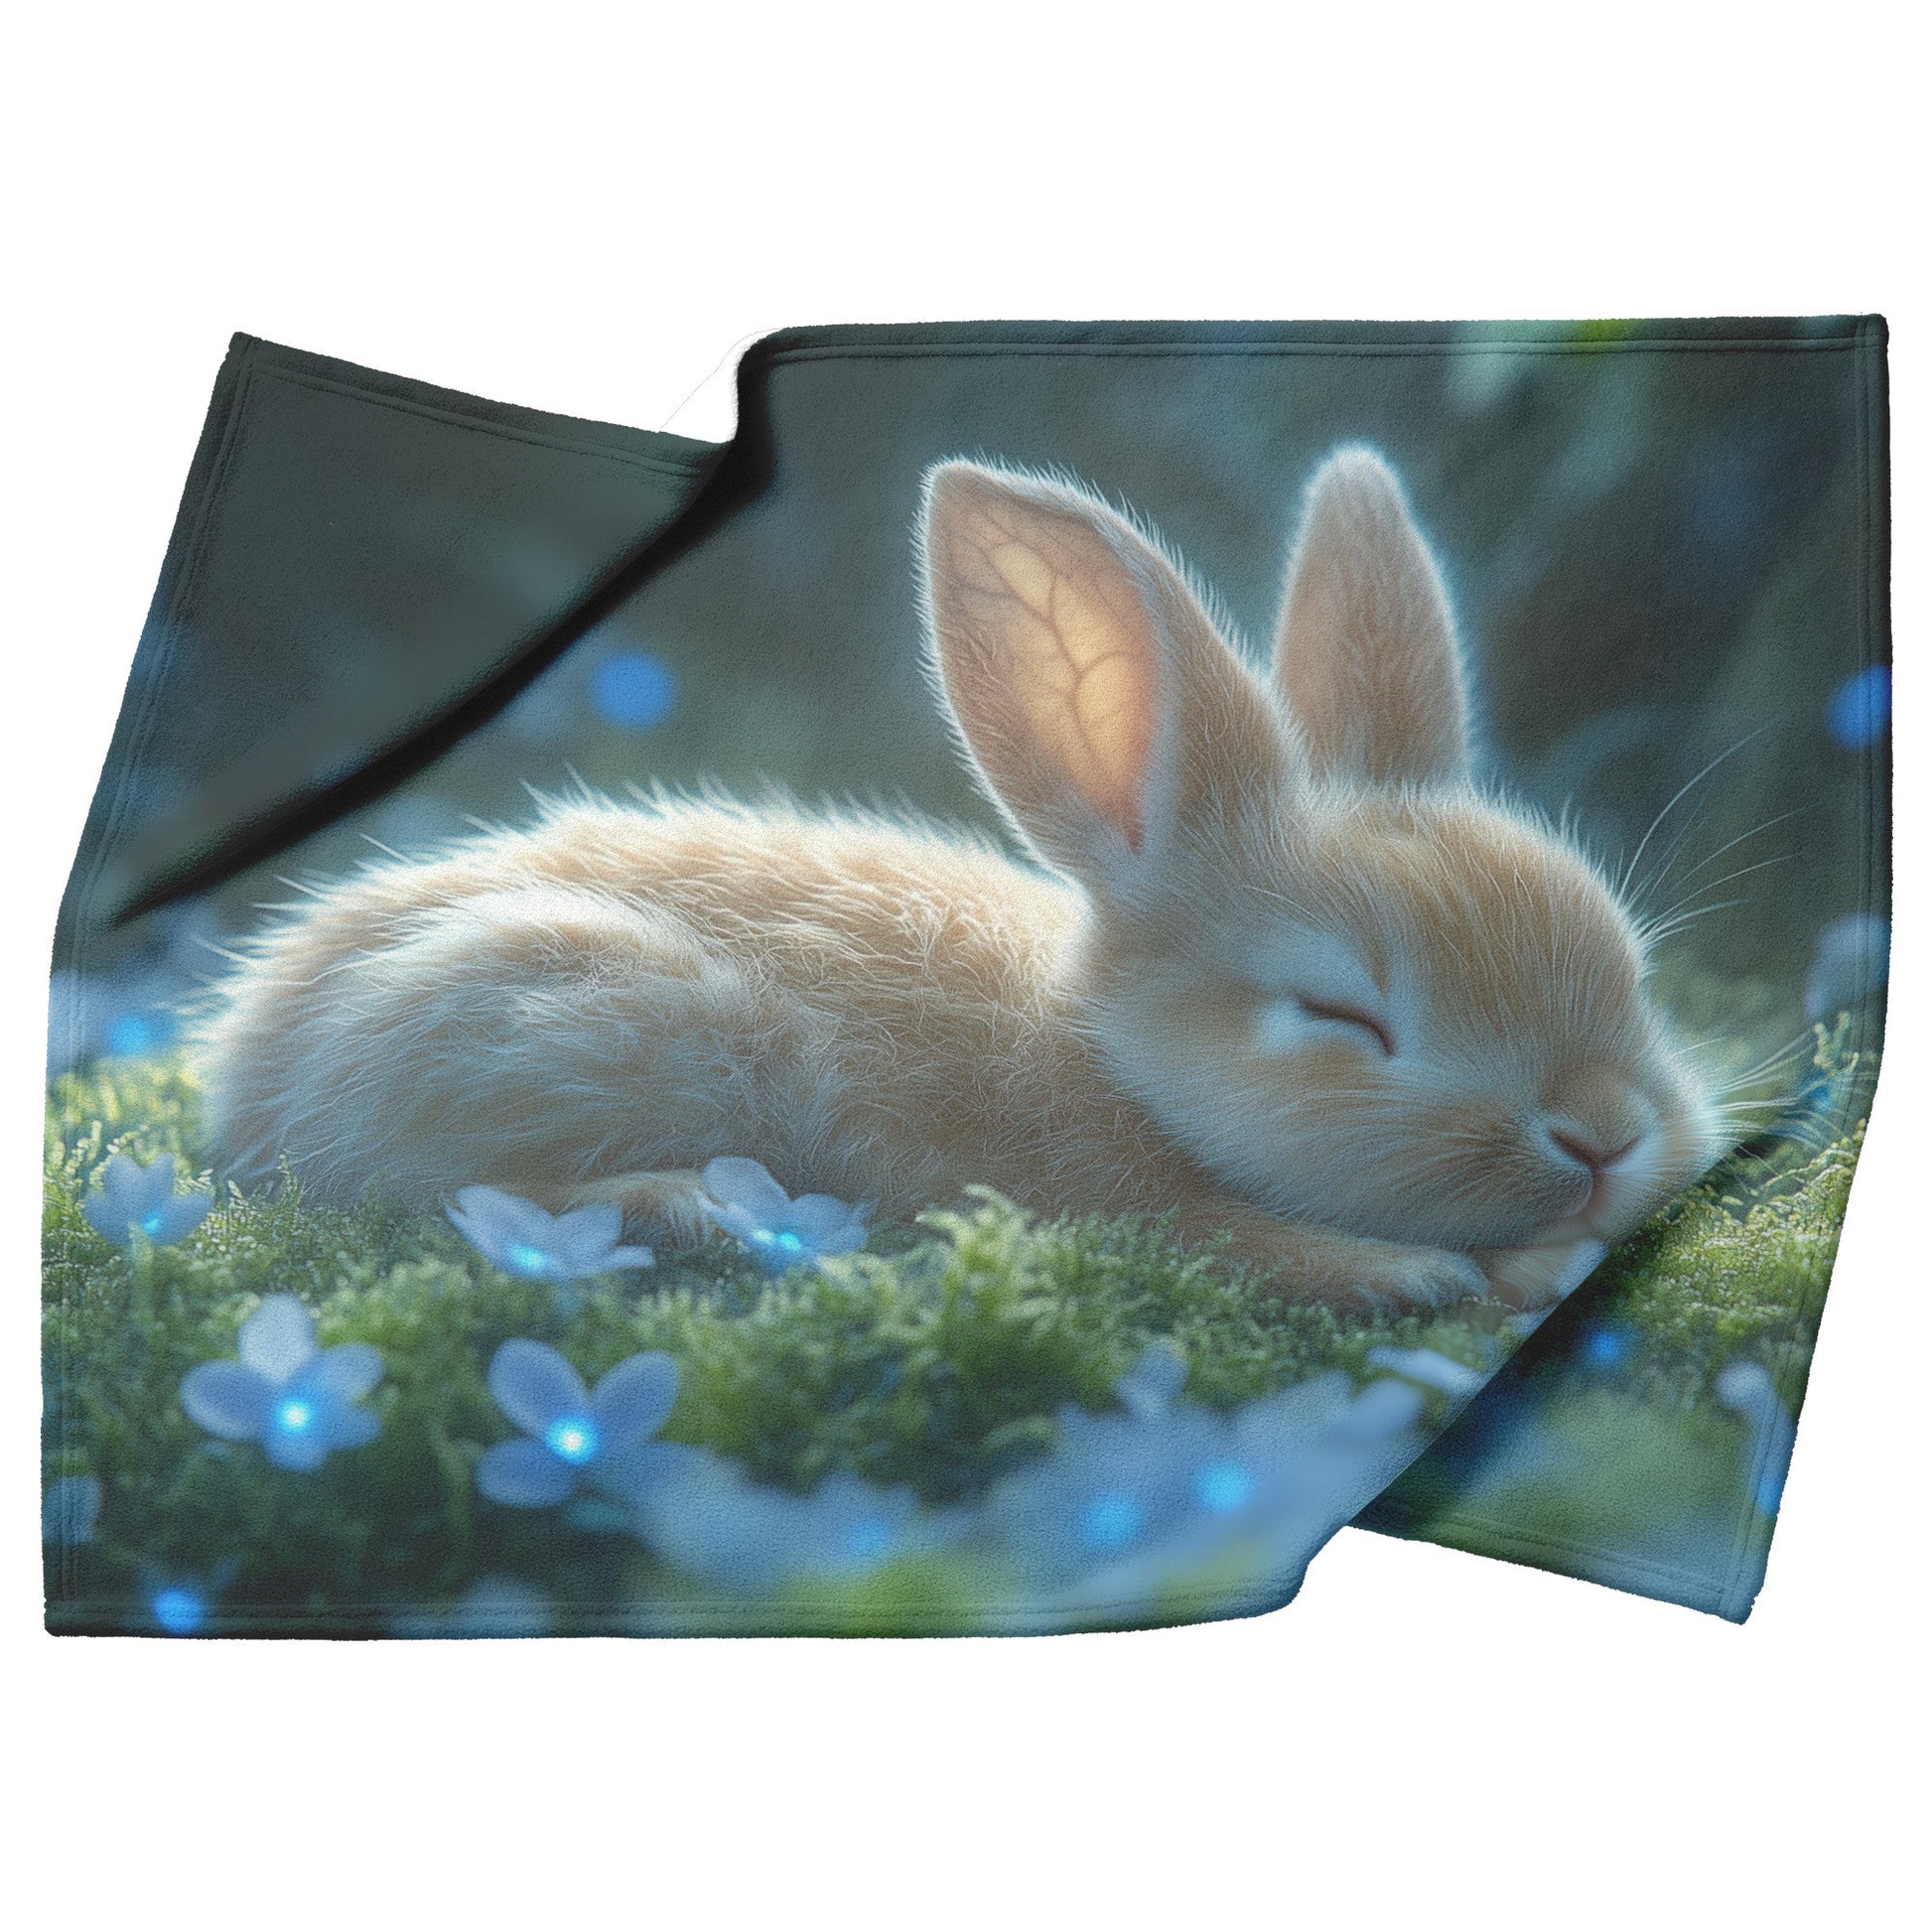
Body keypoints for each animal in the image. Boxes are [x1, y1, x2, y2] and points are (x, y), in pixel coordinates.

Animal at [194, 447, 1722, 1309]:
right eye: (1340, 1017)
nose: (1604, 1136)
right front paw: (1414, 1274)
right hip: (568, 1017)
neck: (1106, 1051)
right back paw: (697, 1205)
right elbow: (1240, 1240)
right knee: (419, 1197)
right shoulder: (1107, 1195)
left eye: (1630, 968)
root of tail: (252, 1074)